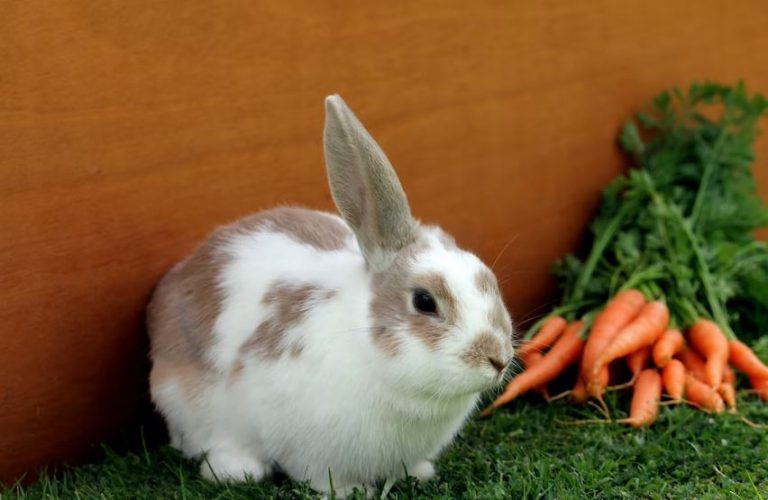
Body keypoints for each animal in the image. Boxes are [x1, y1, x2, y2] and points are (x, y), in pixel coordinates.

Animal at [146, 95, 516, 497]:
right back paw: (236, 469)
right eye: (424, 301)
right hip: (186, 402)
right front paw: (352, 491)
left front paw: (419, 473)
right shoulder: (308, 447)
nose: (498, 359)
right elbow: (324, 475)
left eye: (488, 277)